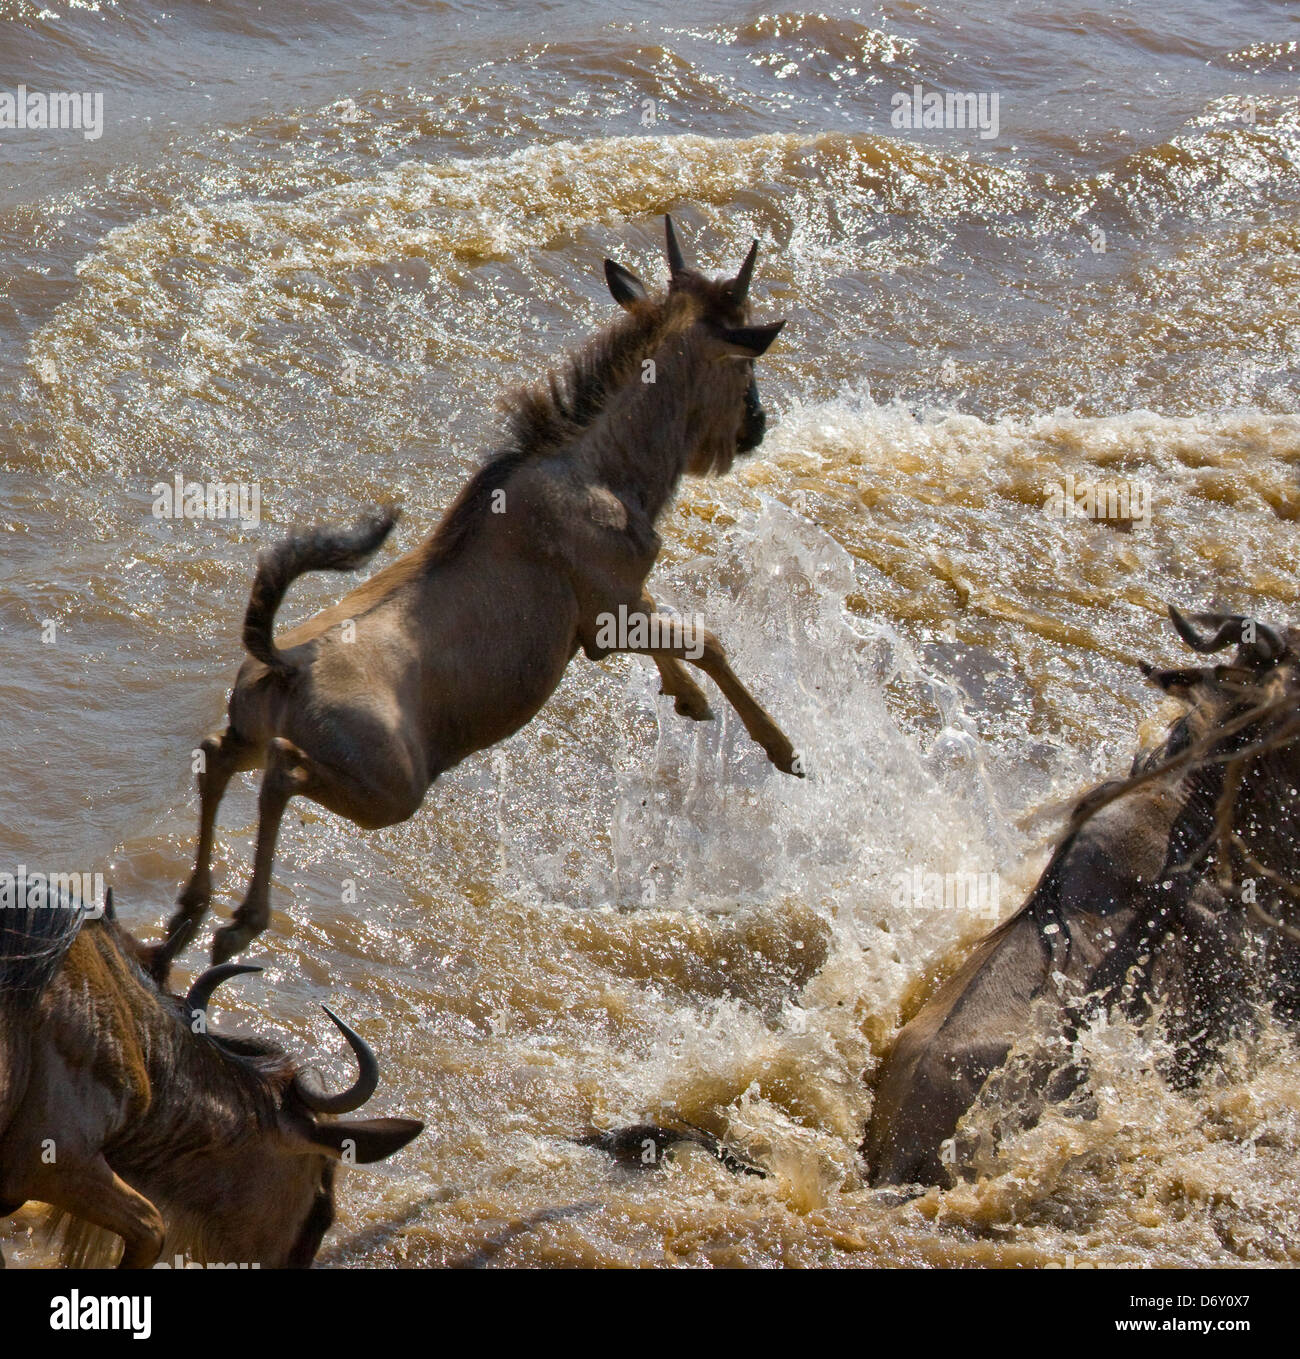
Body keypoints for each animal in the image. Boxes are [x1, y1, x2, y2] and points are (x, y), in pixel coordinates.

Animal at [154, 215, 800, 973]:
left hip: (258, 736)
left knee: (216, 756)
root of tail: (282, 664)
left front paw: (690, 702)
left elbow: (684, 645)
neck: (601, 470)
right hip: (389, 790)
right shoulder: (607, 614)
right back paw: (236, 926)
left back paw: (186, 919)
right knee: (280, 774)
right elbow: (710, 641)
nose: (756, 426)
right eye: (746, 361)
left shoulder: (616, 613)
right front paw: (784, 750)